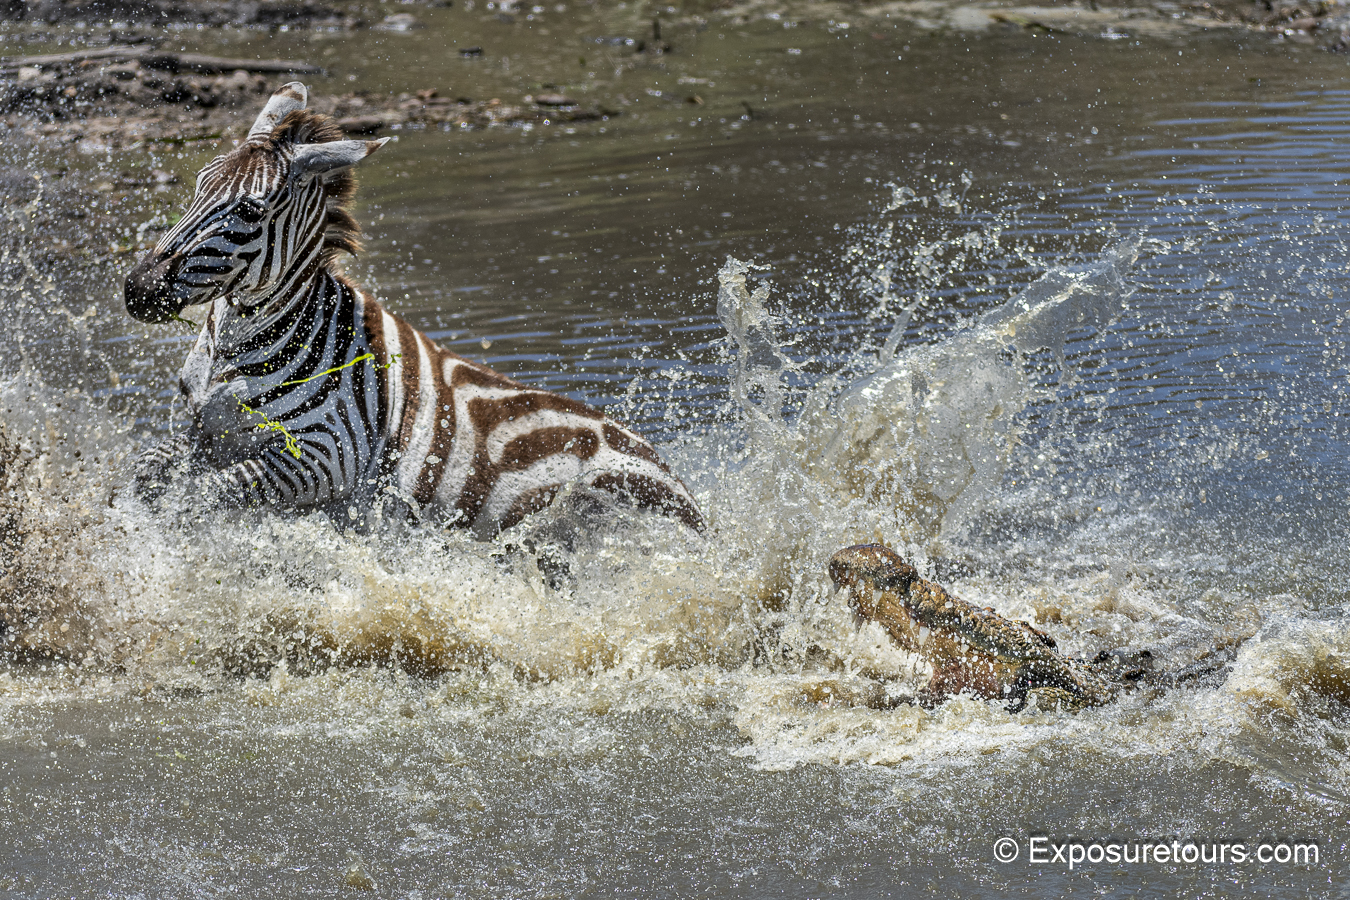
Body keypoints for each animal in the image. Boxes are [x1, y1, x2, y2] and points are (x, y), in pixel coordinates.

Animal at [124, 81, 703, 538]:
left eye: (249, 209)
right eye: (199, 184)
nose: (138, 289)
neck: (244, 343)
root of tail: (696, 508)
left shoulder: (327, 456)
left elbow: (202, 496)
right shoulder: (207, 428)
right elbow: (148, 470)